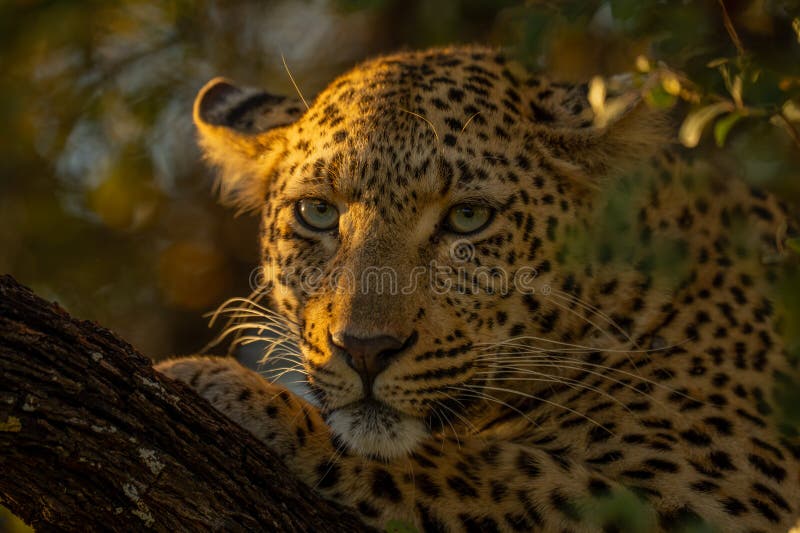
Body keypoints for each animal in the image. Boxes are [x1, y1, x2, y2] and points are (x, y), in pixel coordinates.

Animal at [156, 46, 800, 532]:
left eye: (467, 218)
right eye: (317, 212)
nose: (365, 350)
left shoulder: (729, 497)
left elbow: (479, 469)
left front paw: (225, 386)